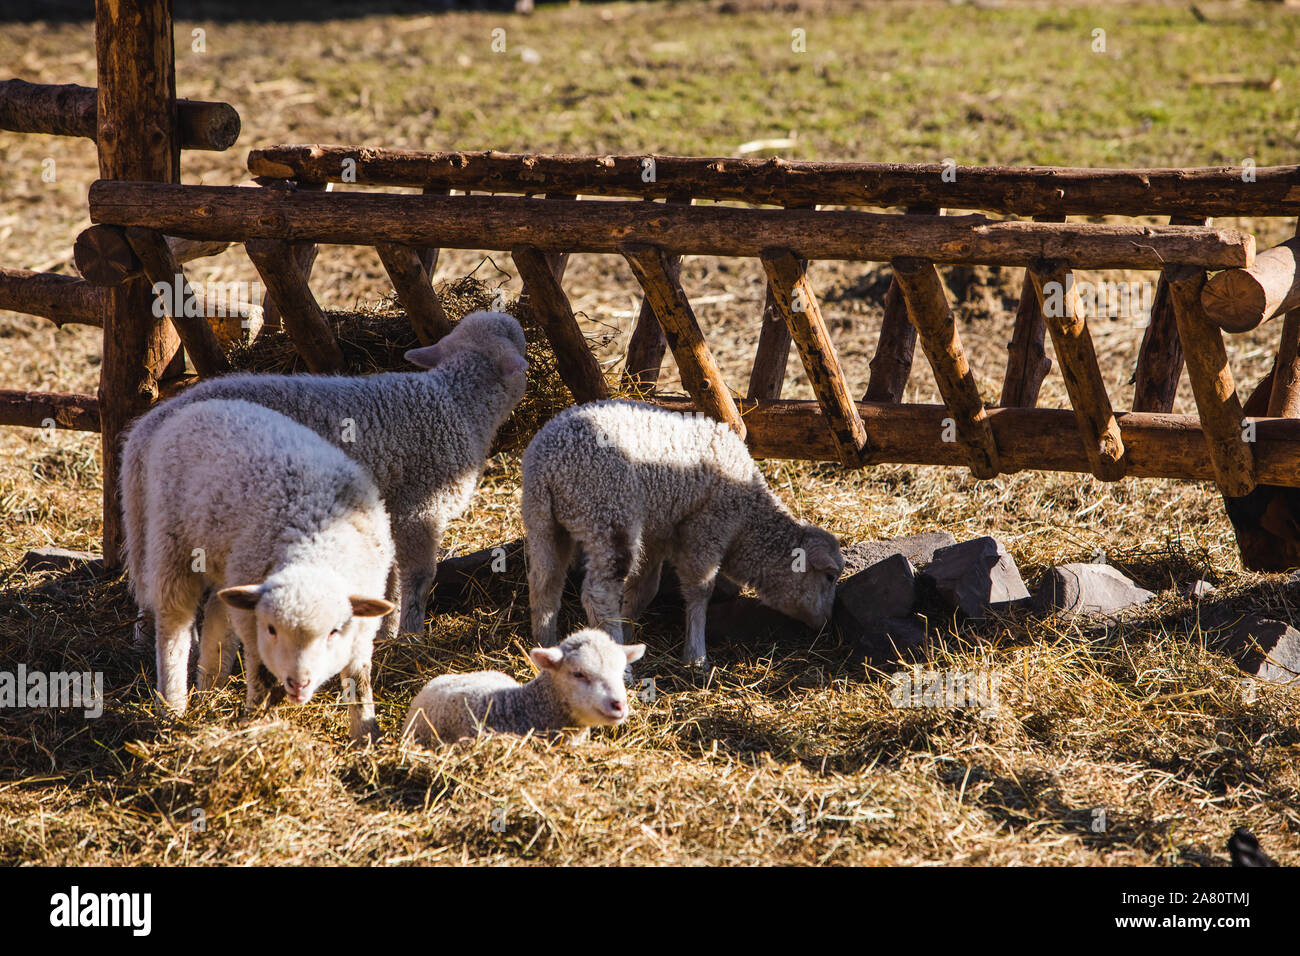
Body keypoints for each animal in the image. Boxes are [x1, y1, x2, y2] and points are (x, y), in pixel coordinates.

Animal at [121, 310, 528, 638]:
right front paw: (411, 635)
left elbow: (391, 577)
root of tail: (145, 432)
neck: (456, 403)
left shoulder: (392, 509)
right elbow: (418, 576)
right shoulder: (420, 506)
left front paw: (385, 630)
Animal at [124, 398, 395, 743]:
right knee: (174, 621)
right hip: (172, 542)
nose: (299, 683)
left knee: (217, 613)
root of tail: (194, 407)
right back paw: (173, 705)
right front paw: (258, 726)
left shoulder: (362, 630)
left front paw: (366, 737)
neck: (315, 545)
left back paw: (210, 686)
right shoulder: (254, 627)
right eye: (271, 629)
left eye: (334, 631)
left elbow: (359, 680)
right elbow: (261, 677)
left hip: (227, 563)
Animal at [522, 400, 843, 666]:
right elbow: (700, 590)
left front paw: (629, 628)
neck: (746, 521)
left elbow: (645, 587)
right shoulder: (707, 528)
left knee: (545, 580)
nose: (826, 622)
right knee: (598, 593)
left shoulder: (658, 533)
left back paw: (545, 645)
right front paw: (696, 656)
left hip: (542, 518)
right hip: (608, 513)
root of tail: (550, 460)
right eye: (829, 577)